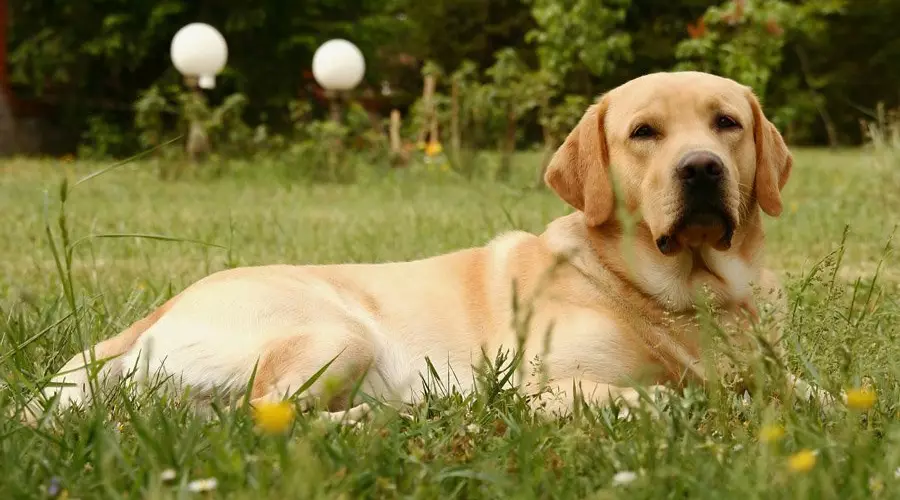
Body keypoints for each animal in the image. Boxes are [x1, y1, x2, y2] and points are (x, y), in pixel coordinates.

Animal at [26, 71, 816, 426]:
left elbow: (810, 392)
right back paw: (371, 420)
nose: (701, 169)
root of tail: (153, 316)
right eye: (643, 133)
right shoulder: (542, 384)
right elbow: (661, 398)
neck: (674, 291)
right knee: (263, 417)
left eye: (726, 123)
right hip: (335, 333)